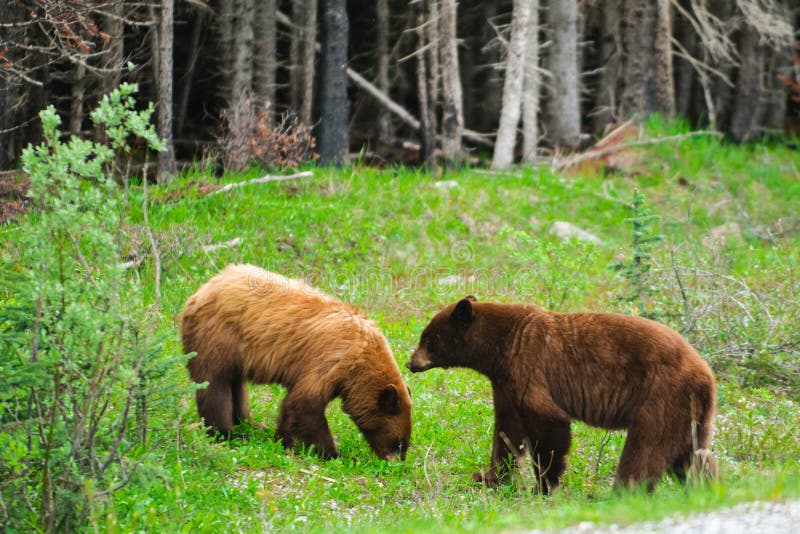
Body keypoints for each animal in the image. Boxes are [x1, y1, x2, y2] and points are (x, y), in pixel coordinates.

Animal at [181, 264, 412, 461]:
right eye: (399, 442)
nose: (397, 461)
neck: (361, 359)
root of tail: (200, 291)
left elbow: (291, 406)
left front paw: (283, 440)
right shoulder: (330, 360)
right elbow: (305, 403)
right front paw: (334, 453)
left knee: (236, 386)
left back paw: (252, 424)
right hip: (217, 337)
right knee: (215, 386)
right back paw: (226, 433)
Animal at [407, 296, 717, 493]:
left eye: (427, 338)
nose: (410, 363)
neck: (500, 346)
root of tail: (706, 374)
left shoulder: (529, 367)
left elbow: (548, 424)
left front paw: (544, 485)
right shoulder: (506, 384)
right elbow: (507, 432)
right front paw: (489, 477)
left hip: (661, 396)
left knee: (646, 451)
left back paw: (623, 493)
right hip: (690, 412)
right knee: (694, 455)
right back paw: (708, 487)